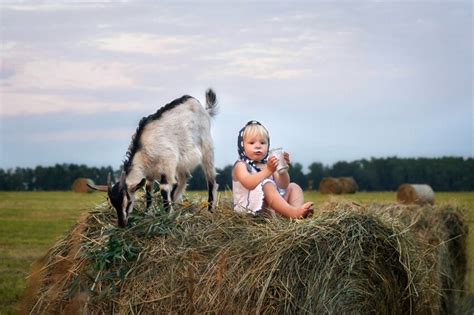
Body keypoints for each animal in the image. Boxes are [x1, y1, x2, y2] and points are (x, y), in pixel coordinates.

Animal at [90, 89, 219, 227]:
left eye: (128, 201)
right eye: (113, 204)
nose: (122, 224)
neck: (144, 149)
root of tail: (203, 108)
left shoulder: (167, 166)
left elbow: (165, 189)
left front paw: (168, 216)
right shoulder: (149, 175)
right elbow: (148, 191)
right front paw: (148, 213)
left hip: (206, 148)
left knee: (211, 180)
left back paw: (210, 210)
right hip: (181, 161)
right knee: (184, 178)